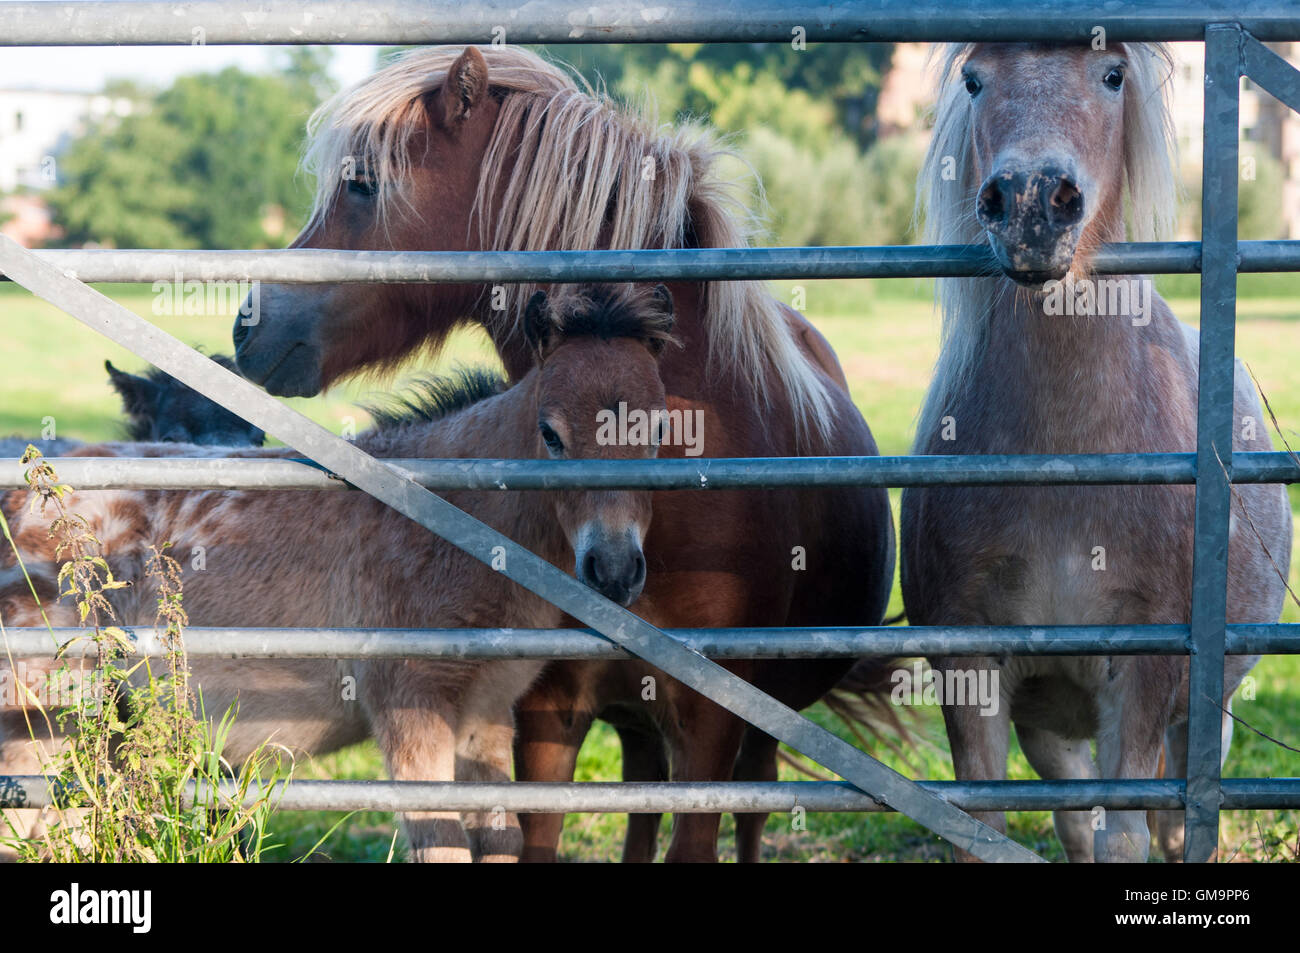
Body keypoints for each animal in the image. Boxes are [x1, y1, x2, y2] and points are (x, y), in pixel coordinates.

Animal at [1, 285, 673, 862]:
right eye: (550, 435)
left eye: (660, 434)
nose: (615, 569)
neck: (450, 514)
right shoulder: (409, 705)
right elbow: (442, 844)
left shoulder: (485, 712)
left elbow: (499, 838)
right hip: (41, 716)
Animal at [230, 44, 896, 862]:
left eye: (362, 184)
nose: (246, 325)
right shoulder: (548, 708)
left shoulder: (711, 721)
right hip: (639, 723)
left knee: (751, 810)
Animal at [901, 42, 1290, 862]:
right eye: (973, 79)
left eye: (1112, 76)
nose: (1030, 202)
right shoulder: (974, 672)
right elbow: (988, 829)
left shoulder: (1142, 681)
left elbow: (1127, 837)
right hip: (1052, 722)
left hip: (1202, 713)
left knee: (1175, 815)